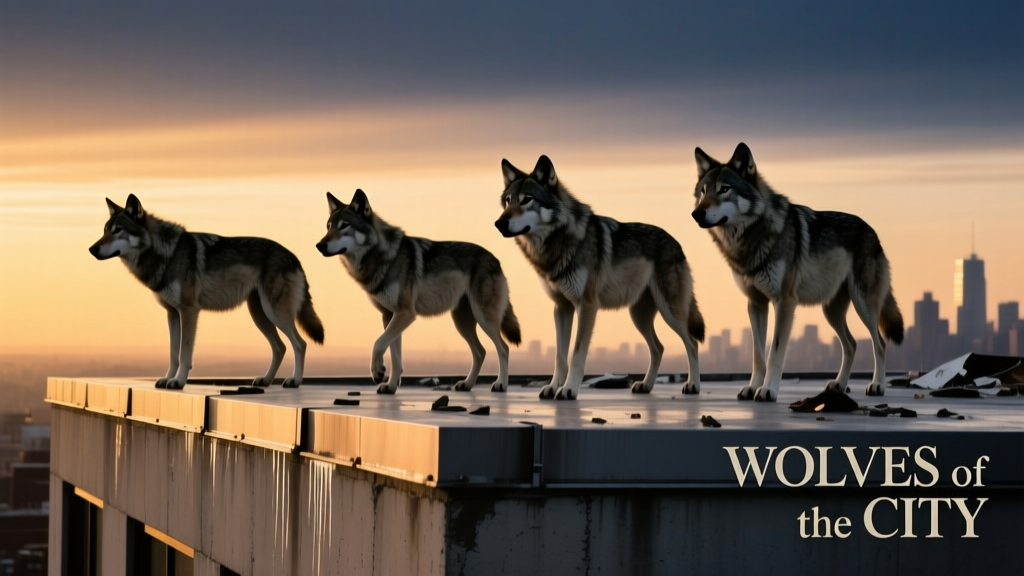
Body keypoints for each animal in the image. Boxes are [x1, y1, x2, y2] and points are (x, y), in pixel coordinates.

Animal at [89, 194, 324, 389]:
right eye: (104, 230)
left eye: (118, 230)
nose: (92, 249)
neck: (168, 254)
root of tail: (294, 257)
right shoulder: (172, 313)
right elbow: (173, 354)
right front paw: (168, 379)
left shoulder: (189, 311)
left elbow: (184, 353)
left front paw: (178, 382)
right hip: (259, 315)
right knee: (280, 347)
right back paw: (265, 380)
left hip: (274, 313)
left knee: (300, 344)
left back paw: (294, 381)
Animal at [316, 189, 521, 394]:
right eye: (328, 227)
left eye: (345, 225)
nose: (319, 245)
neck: (382, 257)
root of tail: (495, 260)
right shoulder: (390, 315)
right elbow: (394, 354)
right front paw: (391, 386)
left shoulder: (405, 313)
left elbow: (378, 343)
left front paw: (377, 372)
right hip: (462, 322)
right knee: (480, 352)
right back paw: (467, 384)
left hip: (483, 318)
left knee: (503, 348)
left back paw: (501, 384)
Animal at [495, 155, 704, 400]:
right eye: (508, 201)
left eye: (527, 199)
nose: (499, 223)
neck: (558, 243)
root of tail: (676, 243)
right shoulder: (561, 308)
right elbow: (559, 355)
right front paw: (553, 387)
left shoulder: (586, 306)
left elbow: (576, 353)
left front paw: (569, 389)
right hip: (639, 316)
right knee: (658, 348)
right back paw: (645, 385)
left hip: (670, 312)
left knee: (692, 343)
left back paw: (693, 386)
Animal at [691, 143, 904, 401]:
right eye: (703, 192)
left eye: (724, 189)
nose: (696, 213)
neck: (751, 241)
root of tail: (873, 233)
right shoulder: (756, 303)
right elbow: (757, 354)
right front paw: (752, 387)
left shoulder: (784, 302)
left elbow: (775, 352)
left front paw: (768, 390)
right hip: (831, 311)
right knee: (852, 344)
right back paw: (839, 385)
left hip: (863, 305)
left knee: (879, 343)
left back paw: (878, 386)